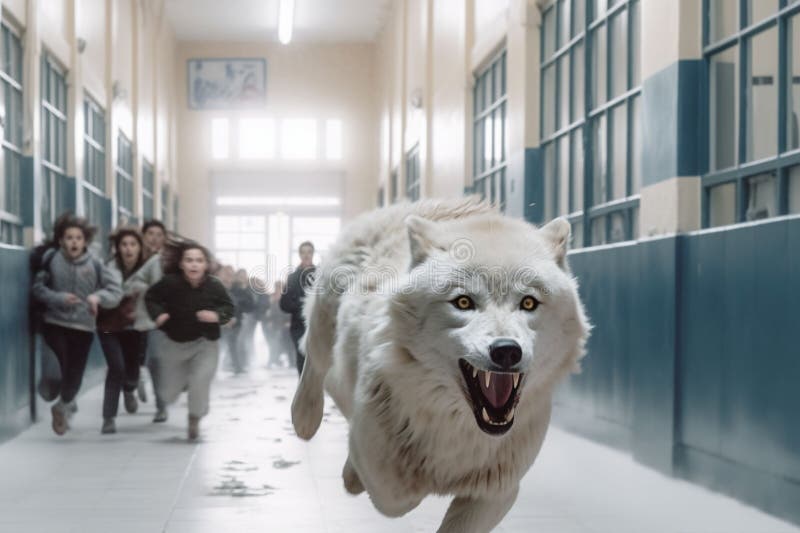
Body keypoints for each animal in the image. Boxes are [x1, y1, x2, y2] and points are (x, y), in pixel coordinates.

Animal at [291, 198, 590, 533]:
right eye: (463, 302)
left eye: (528, 302)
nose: (506, 351)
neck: (456, 426)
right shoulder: (380, 462)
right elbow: (395, 497)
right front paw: (353, 476)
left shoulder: (498, 491)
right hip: (324, 322)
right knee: (316, 364)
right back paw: (305, 419)